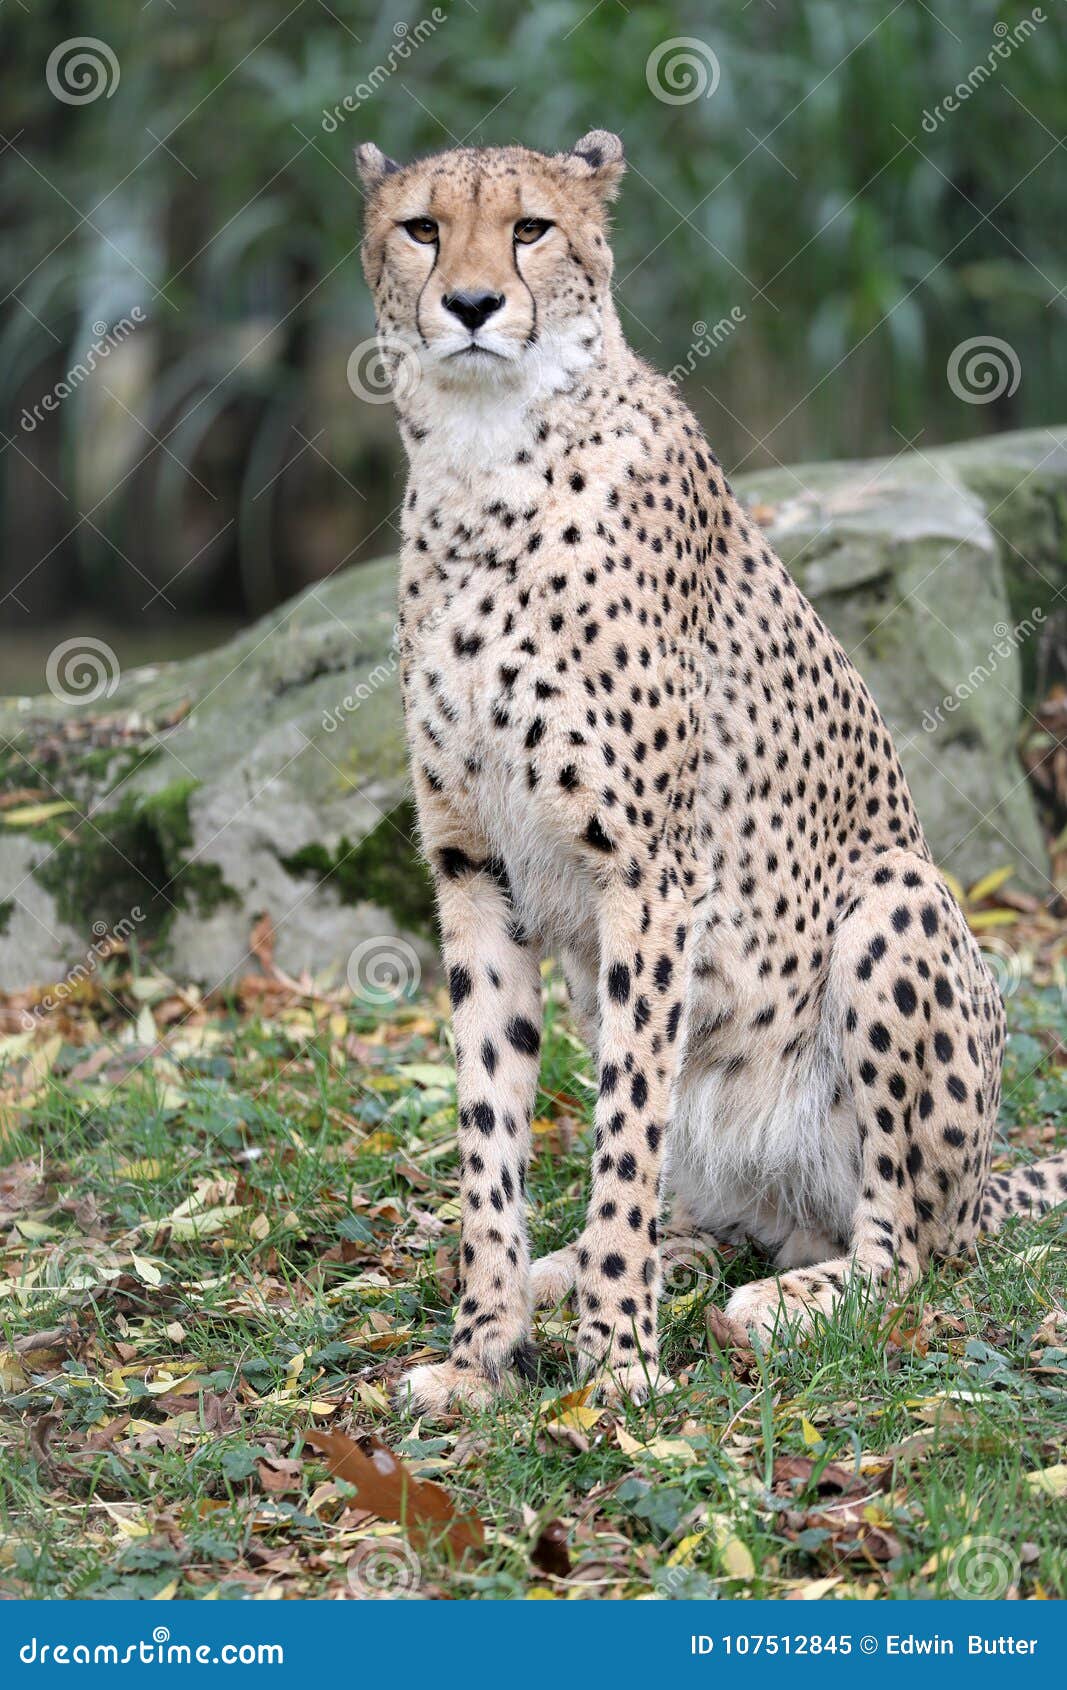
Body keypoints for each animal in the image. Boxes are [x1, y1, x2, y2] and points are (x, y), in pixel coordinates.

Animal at [354, 129, 1067, 1415]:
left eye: (530, 228)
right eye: (421, 228)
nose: (471, 305)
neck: (484, 460)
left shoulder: (648, 874)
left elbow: (625, 1124)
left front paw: (615, 1364)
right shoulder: (475, 871)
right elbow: (491, 1123)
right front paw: (482, 1349)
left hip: (894, 902)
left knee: (901, 1250)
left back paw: (778, 1301)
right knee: (705, 1215)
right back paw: (579, 1268)